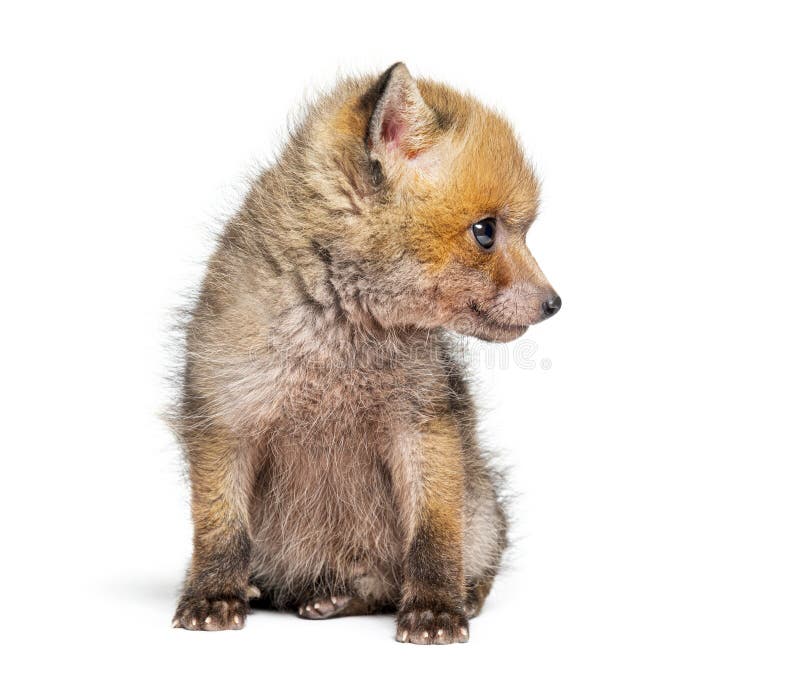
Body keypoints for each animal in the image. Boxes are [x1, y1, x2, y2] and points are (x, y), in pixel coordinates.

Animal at [170, 62, 561, 644]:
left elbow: (433, 537)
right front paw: (212, 595)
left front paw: (435, 609)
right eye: (485, 232)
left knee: (397, 581)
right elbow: (220, 530)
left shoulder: (423, 425)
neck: (338, 341)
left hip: (482, 514)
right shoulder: (224, 419)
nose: (555, 303)